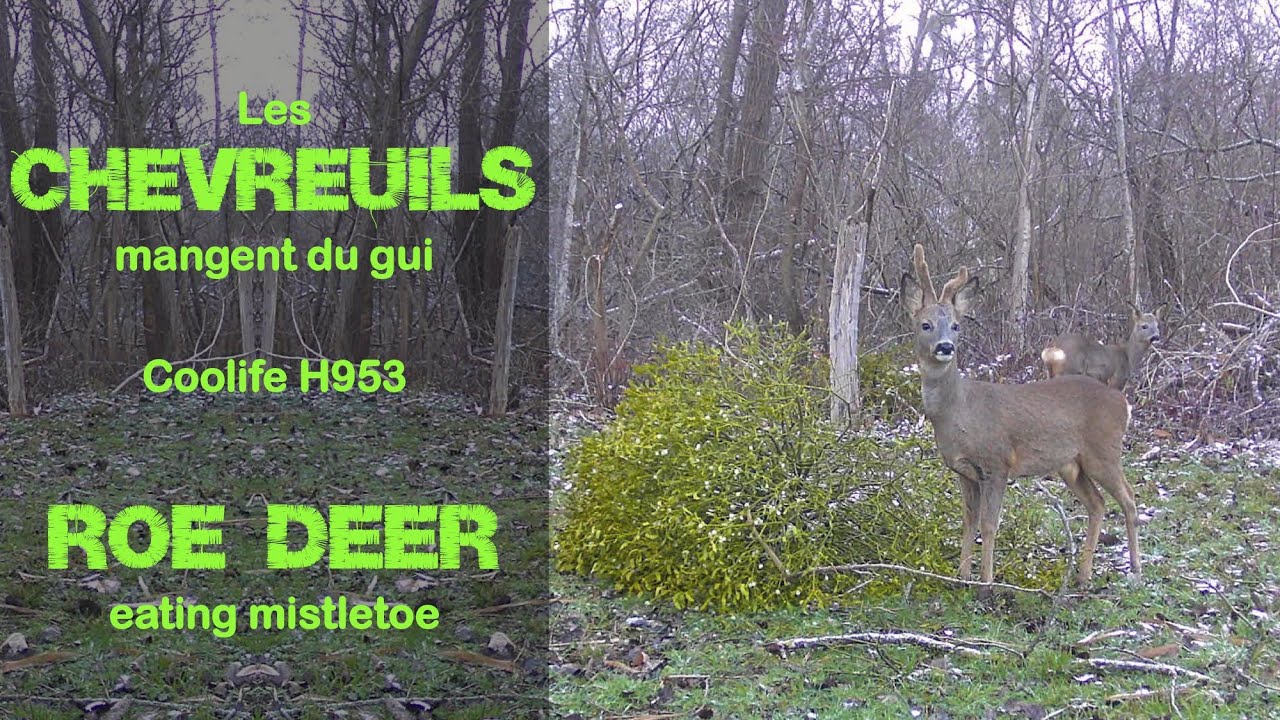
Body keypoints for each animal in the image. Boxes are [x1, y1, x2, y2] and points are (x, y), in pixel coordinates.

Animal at [900, 244, 1141, 594]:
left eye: (956, 326)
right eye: (925, 324)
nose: (945, 347)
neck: (960, 412)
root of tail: (1123, 402)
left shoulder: (997, 462)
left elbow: (989, 524)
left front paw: (986, 584)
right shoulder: (963, 471)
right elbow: (968, 521)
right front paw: (961, 577)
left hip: (1104, 451)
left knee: (1130, 498)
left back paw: (1136, 568)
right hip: (1071, 464)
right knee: (1097, 504)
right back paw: (1083, 576)